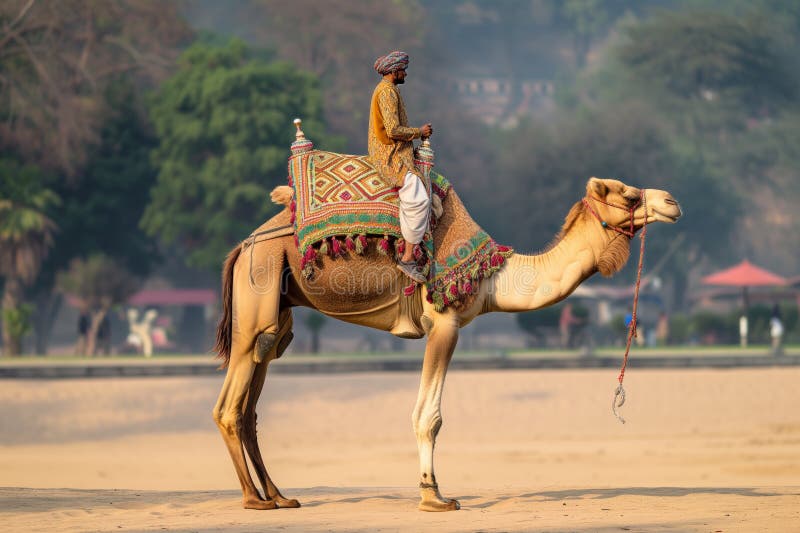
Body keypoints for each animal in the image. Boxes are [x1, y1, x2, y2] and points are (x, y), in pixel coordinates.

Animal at [212, 173, 682, 512]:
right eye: (628, 195)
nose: (672, 202)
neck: (494, 276)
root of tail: (241, 246)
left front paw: (431, 491)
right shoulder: (445, 323)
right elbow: (429, 417)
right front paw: (434, 496)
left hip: (278, 313)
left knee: (254, 397)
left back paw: (279, 496)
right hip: (258, 290)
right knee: (229, 406)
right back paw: (254, 500)